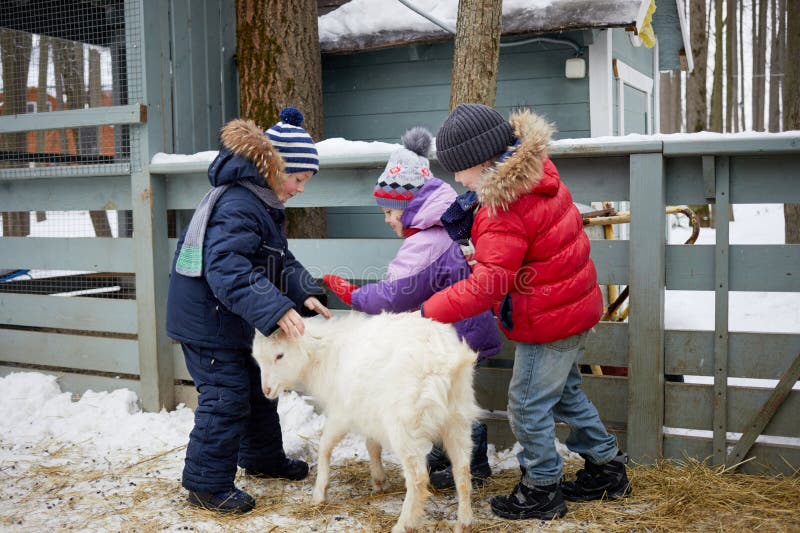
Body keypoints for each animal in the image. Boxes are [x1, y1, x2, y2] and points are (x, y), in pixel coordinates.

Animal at [252, 312, 479, 533]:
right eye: (258, 359)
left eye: (280, 355)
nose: (266, 390)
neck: (323, 353)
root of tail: (447, 361)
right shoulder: (369, 413)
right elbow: (372, 445)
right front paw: (379, 479)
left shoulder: (341, 412)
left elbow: (324, 445)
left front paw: (319, 493)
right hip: (458, 418)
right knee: (462, 469)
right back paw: (464, 522)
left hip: (404, 424)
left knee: (418, 477)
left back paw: (404, 524)